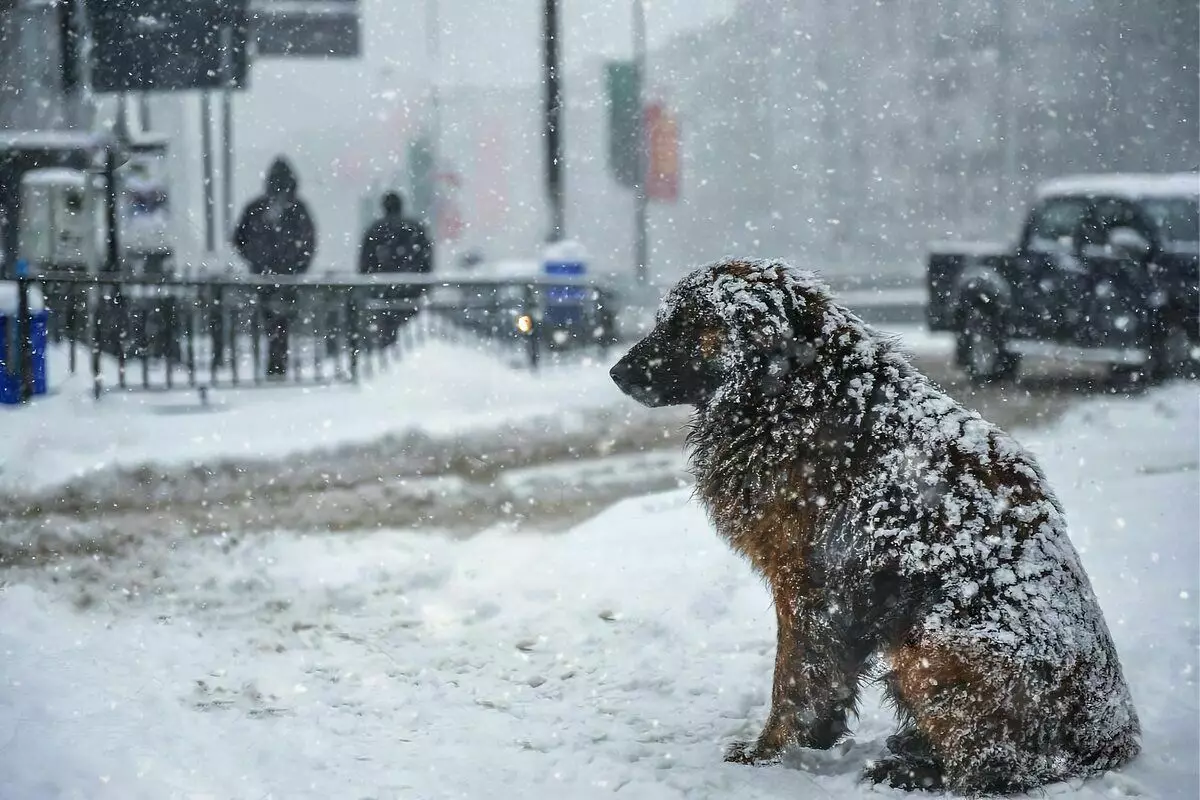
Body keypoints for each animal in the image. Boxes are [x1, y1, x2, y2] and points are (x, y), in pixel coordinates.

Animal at [614, 257, 1137, 796]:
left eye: (686, 325)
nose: (616, 372)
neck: (796, 390)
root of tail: (1110, 736)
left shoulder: (808, 583)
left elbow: (794, 677)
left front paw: (769, 754)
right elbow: (827, 677)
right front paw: (813, 741)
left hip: (932, 644)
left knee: (999, 766)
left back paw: (913, 770)